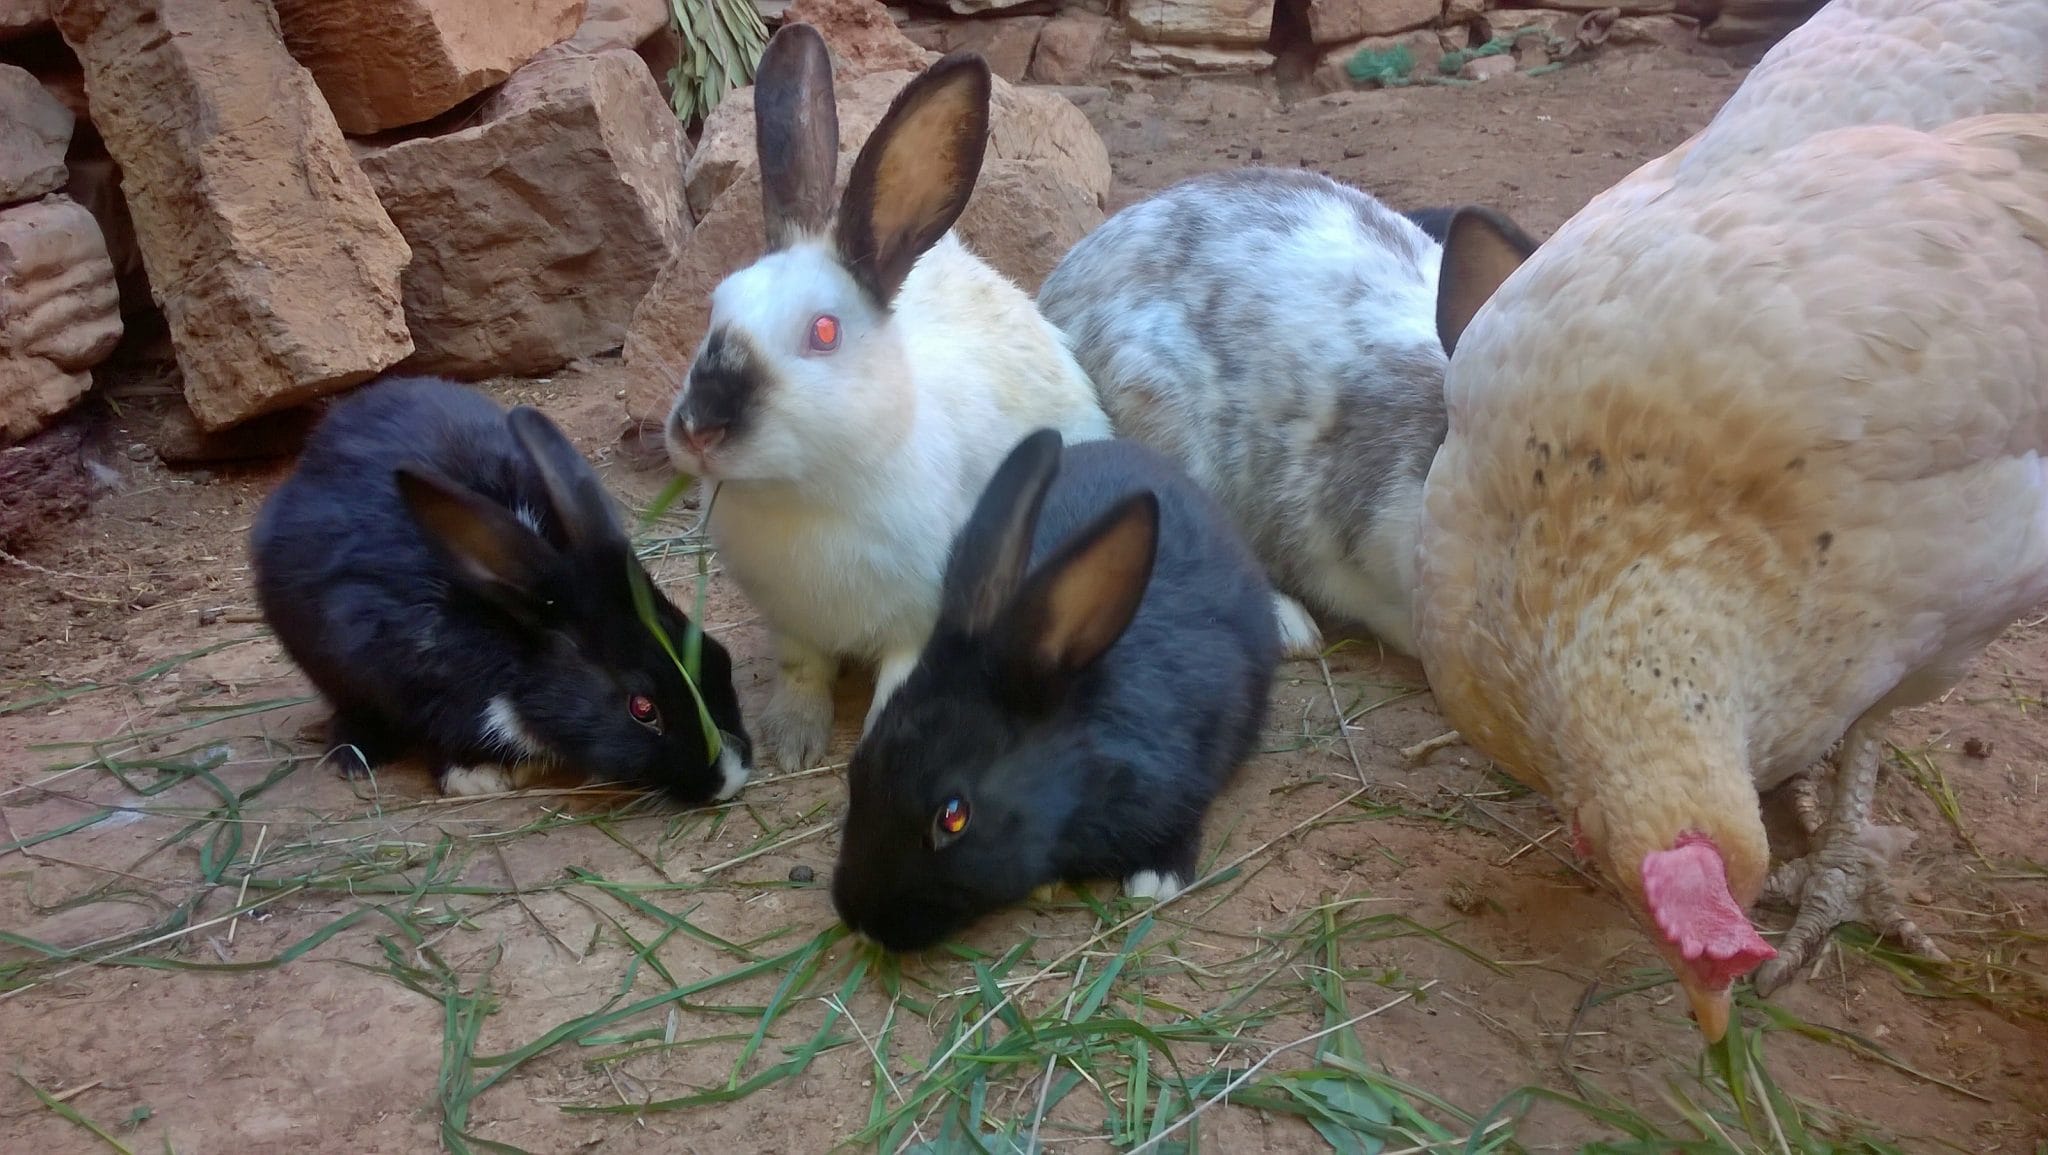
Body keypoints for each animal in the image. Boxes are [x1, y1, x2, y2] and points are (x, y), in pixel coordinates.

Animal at [661, 22, 1112, 774]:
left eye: (823, 331)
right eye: (715, 307)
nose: (699, 428)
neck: (808, 497)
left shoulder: (919, 619)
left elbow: (899, 683)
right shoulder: (793, 626)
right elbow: (802, 673)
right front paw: (792, 740)